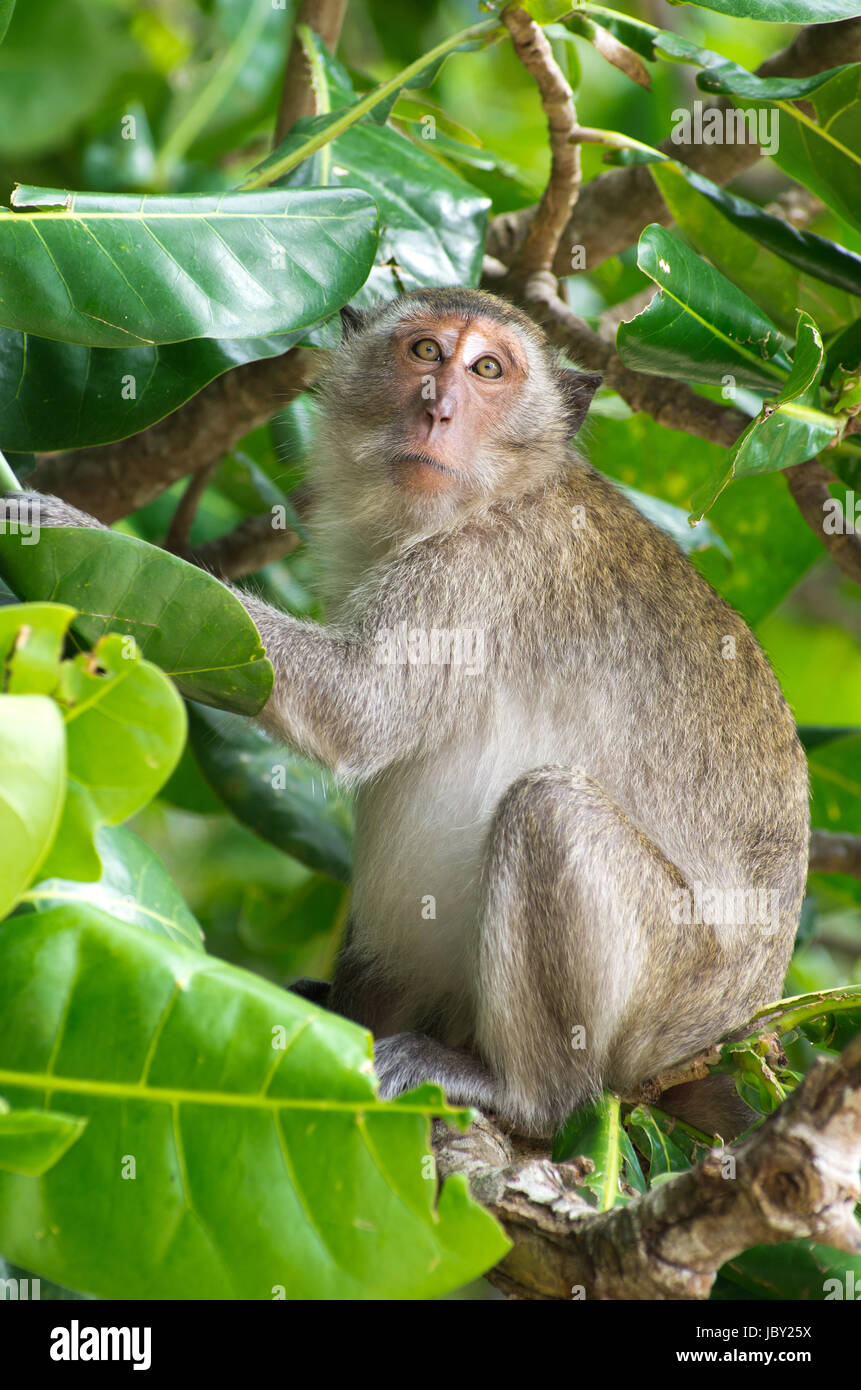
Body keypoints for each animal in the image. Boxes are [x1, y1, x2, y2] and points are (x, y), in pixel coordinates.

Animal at [16, 286, 809, 1139]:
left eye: (489, 369)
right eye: (425, 352)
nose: (438, 409)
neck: (497, 493)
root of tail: (734, 1033)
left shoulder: (477, 570)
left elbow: (355, 710)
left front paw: (59, 528)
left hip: (671, 990)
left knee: (547, 808)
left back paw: (526, 1092)